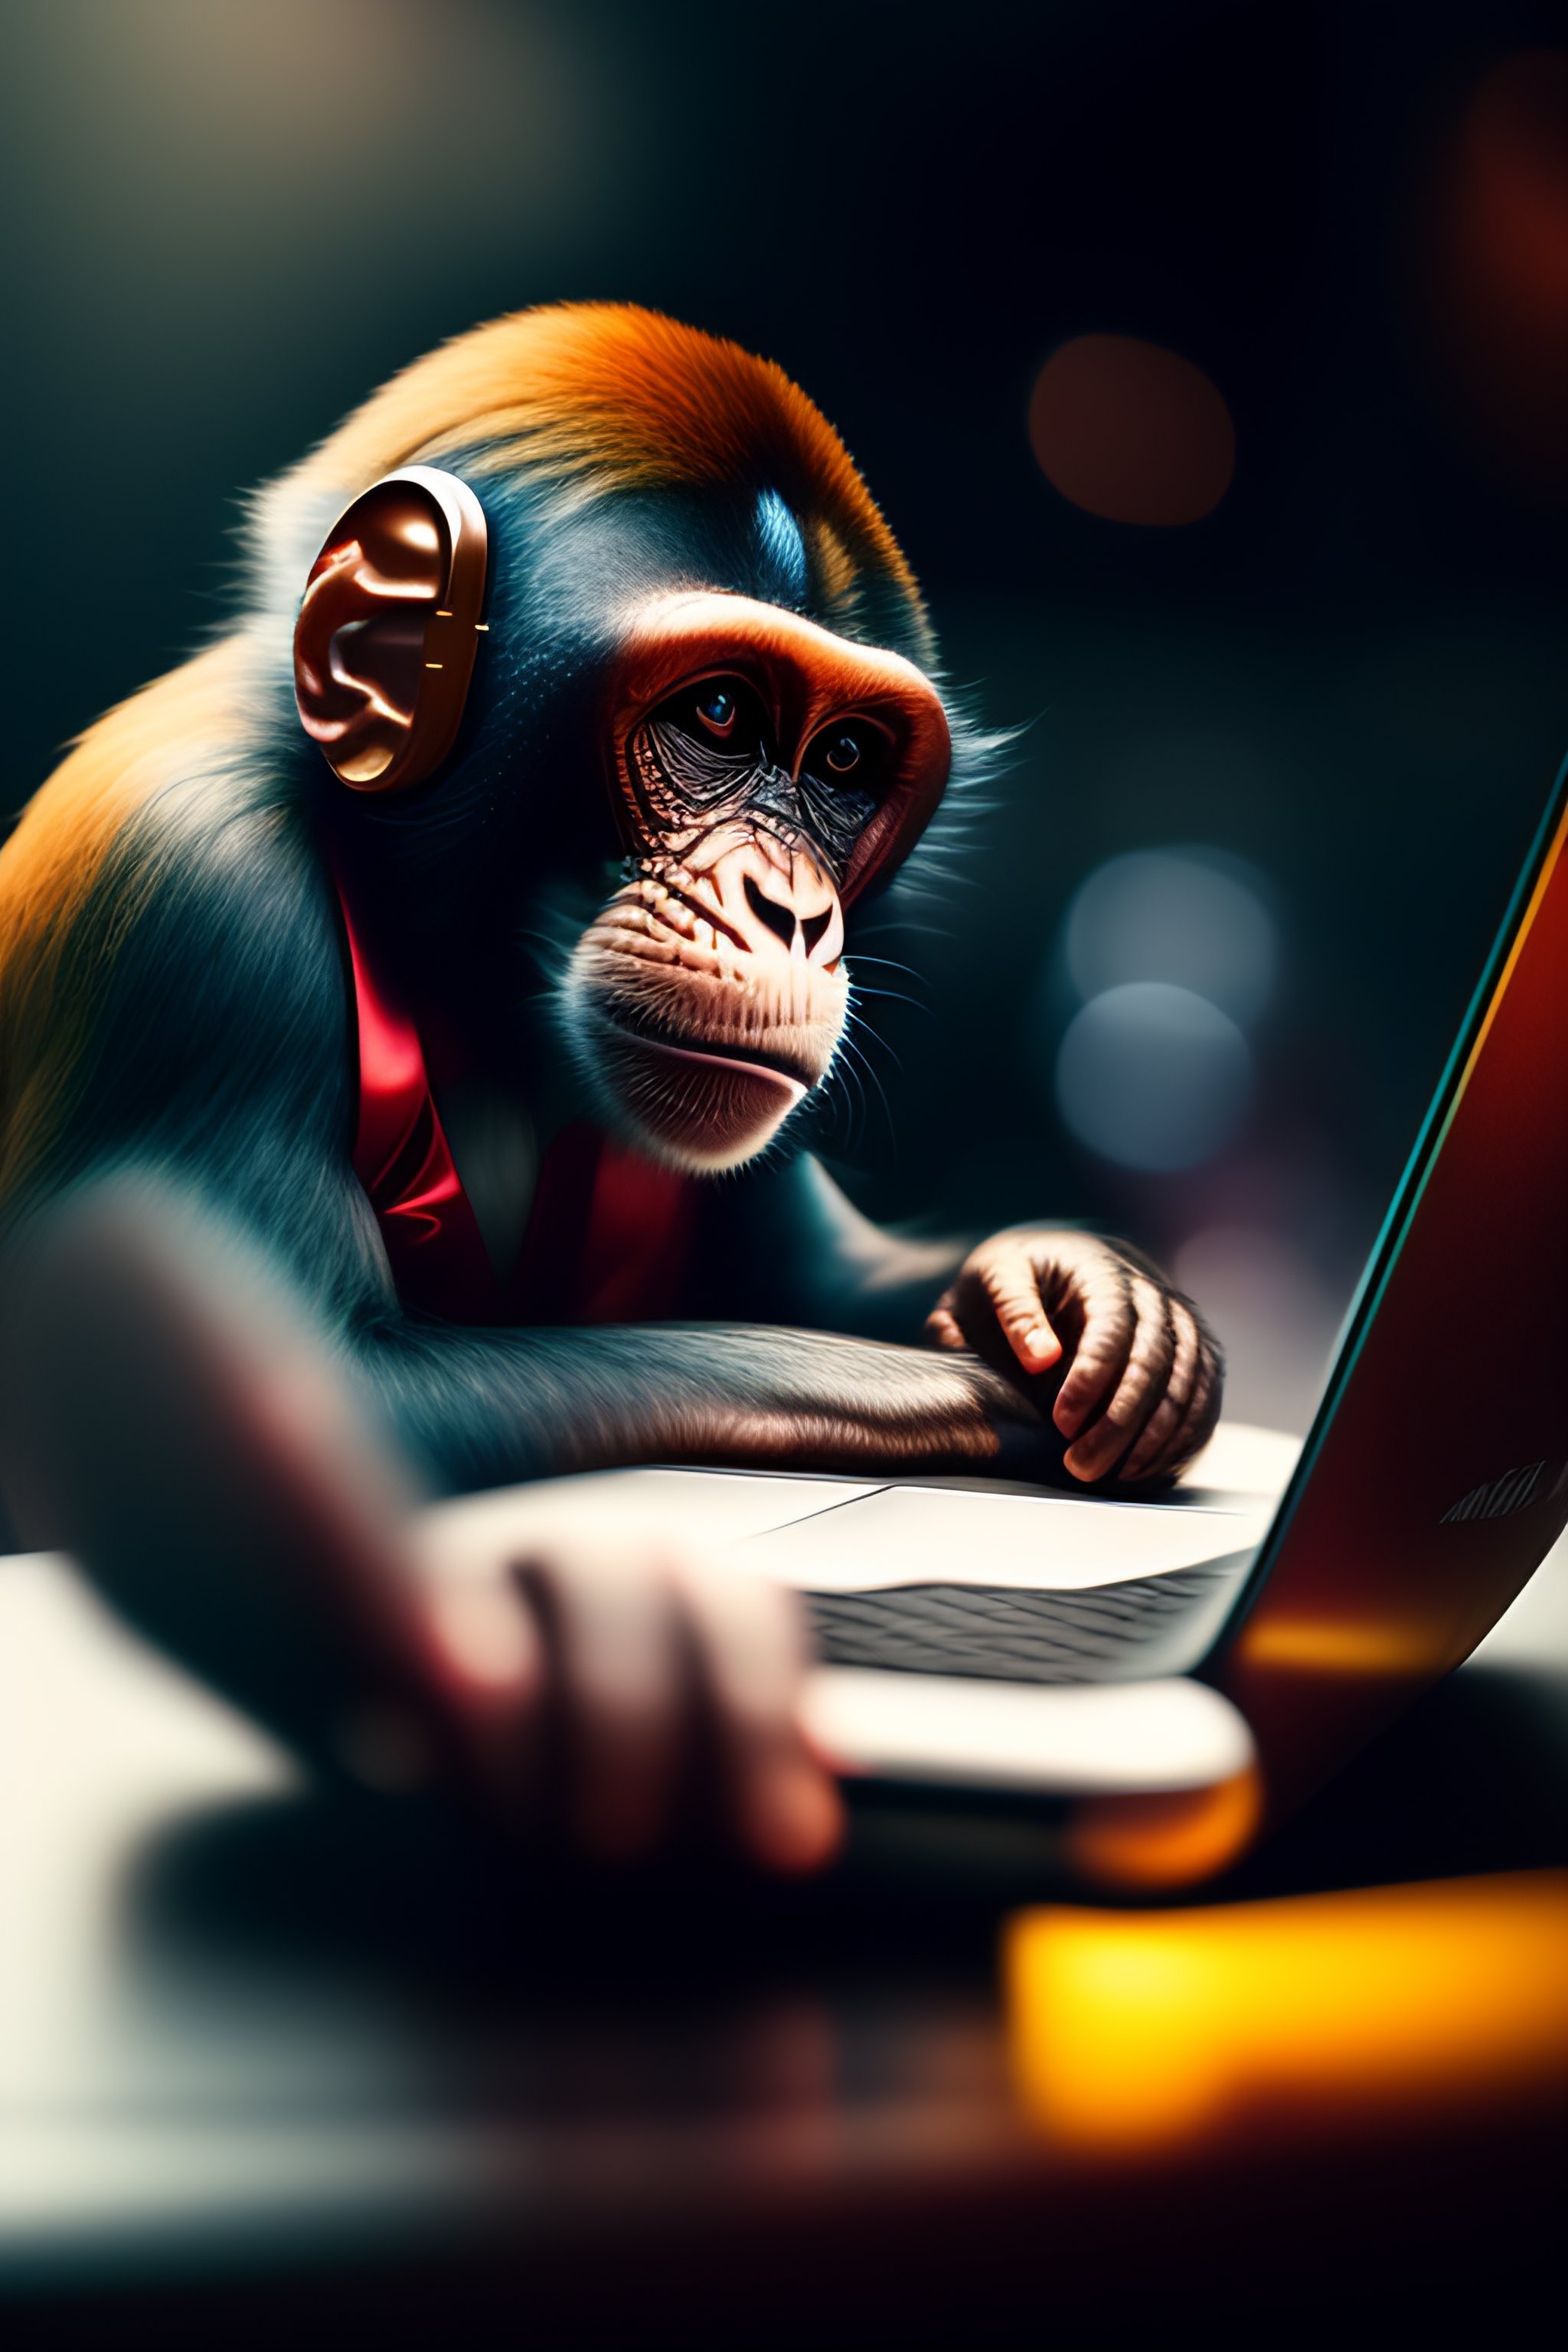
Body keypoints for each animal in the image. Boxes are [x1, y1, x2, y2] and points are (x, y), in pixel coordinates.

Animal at [0, 304, 1221, 1503]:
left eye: (843, 759)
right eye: (719, 714)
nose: (790, 911)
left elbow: (823, 1272)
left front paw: (1087, 1290)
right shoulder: (192, 892)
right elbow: (302, 1391)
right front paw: (964, 1385)